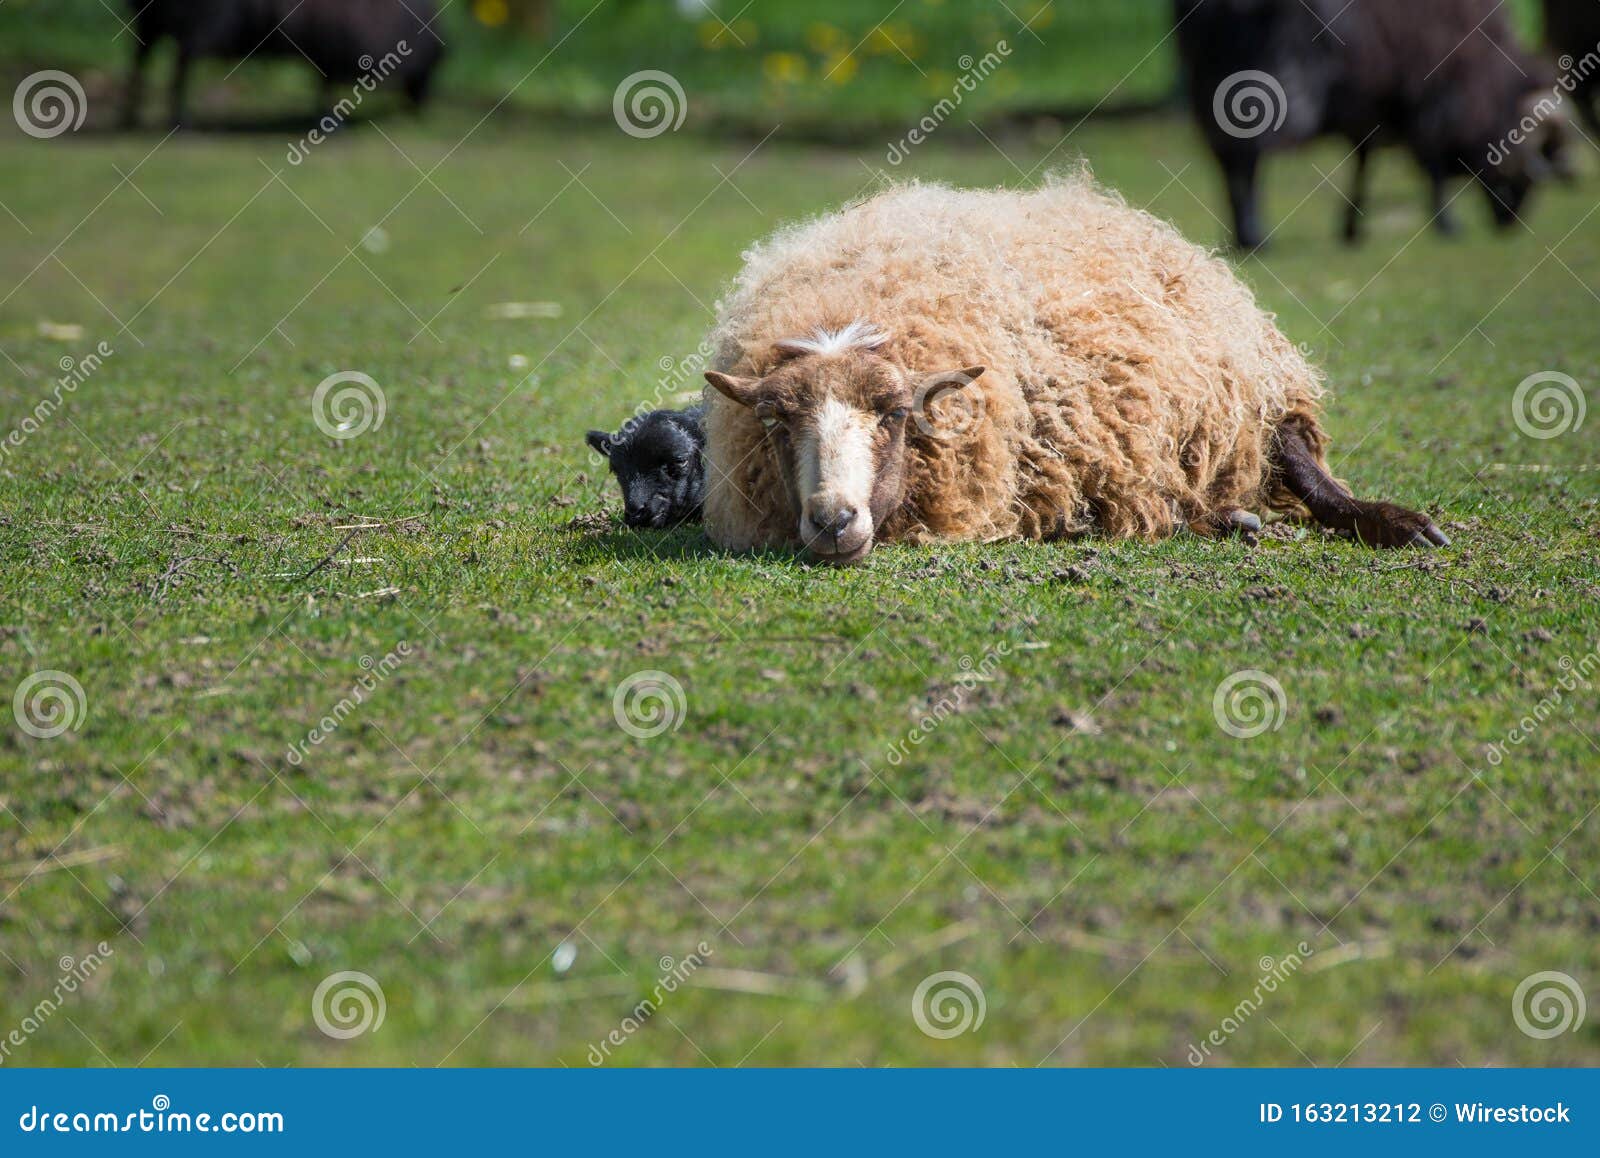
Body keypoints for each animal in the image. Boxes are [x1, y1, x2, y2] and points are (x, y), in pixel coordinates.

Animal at [121, 0, 444, 129]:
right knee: (179, 68)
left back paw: (132, 117)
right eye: (430, 74)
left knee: (139, 62)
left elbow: (324, 82)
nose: (421, 112)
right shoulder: (330, 38)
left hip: (150, 22)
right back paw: (180, 122)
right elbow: (326, 84)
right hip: (193, 23)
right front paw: (330, 123)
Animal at [699, 177, 1448, 565]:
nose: (832, 520)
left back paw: (1395, 523)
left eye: (896, 413)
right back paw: (1228, 517)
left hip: (1250, 393)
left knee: (1301, 462)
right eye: (774, 420)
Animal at [1174, 0, 1566, 249]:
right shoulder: (1427, 87)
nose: (1510, 223)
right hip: (1274, 77)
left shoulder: (1371, 98)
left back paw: (1238, 237)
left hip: (1207, 75)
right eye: (1534, 161)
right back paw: (1255, 237)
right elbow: (1430, 159)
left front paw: (1351, 227)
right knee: (1246, 152)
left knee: (1226, 154)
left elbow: (1364, 159)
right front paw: (1446, 222)